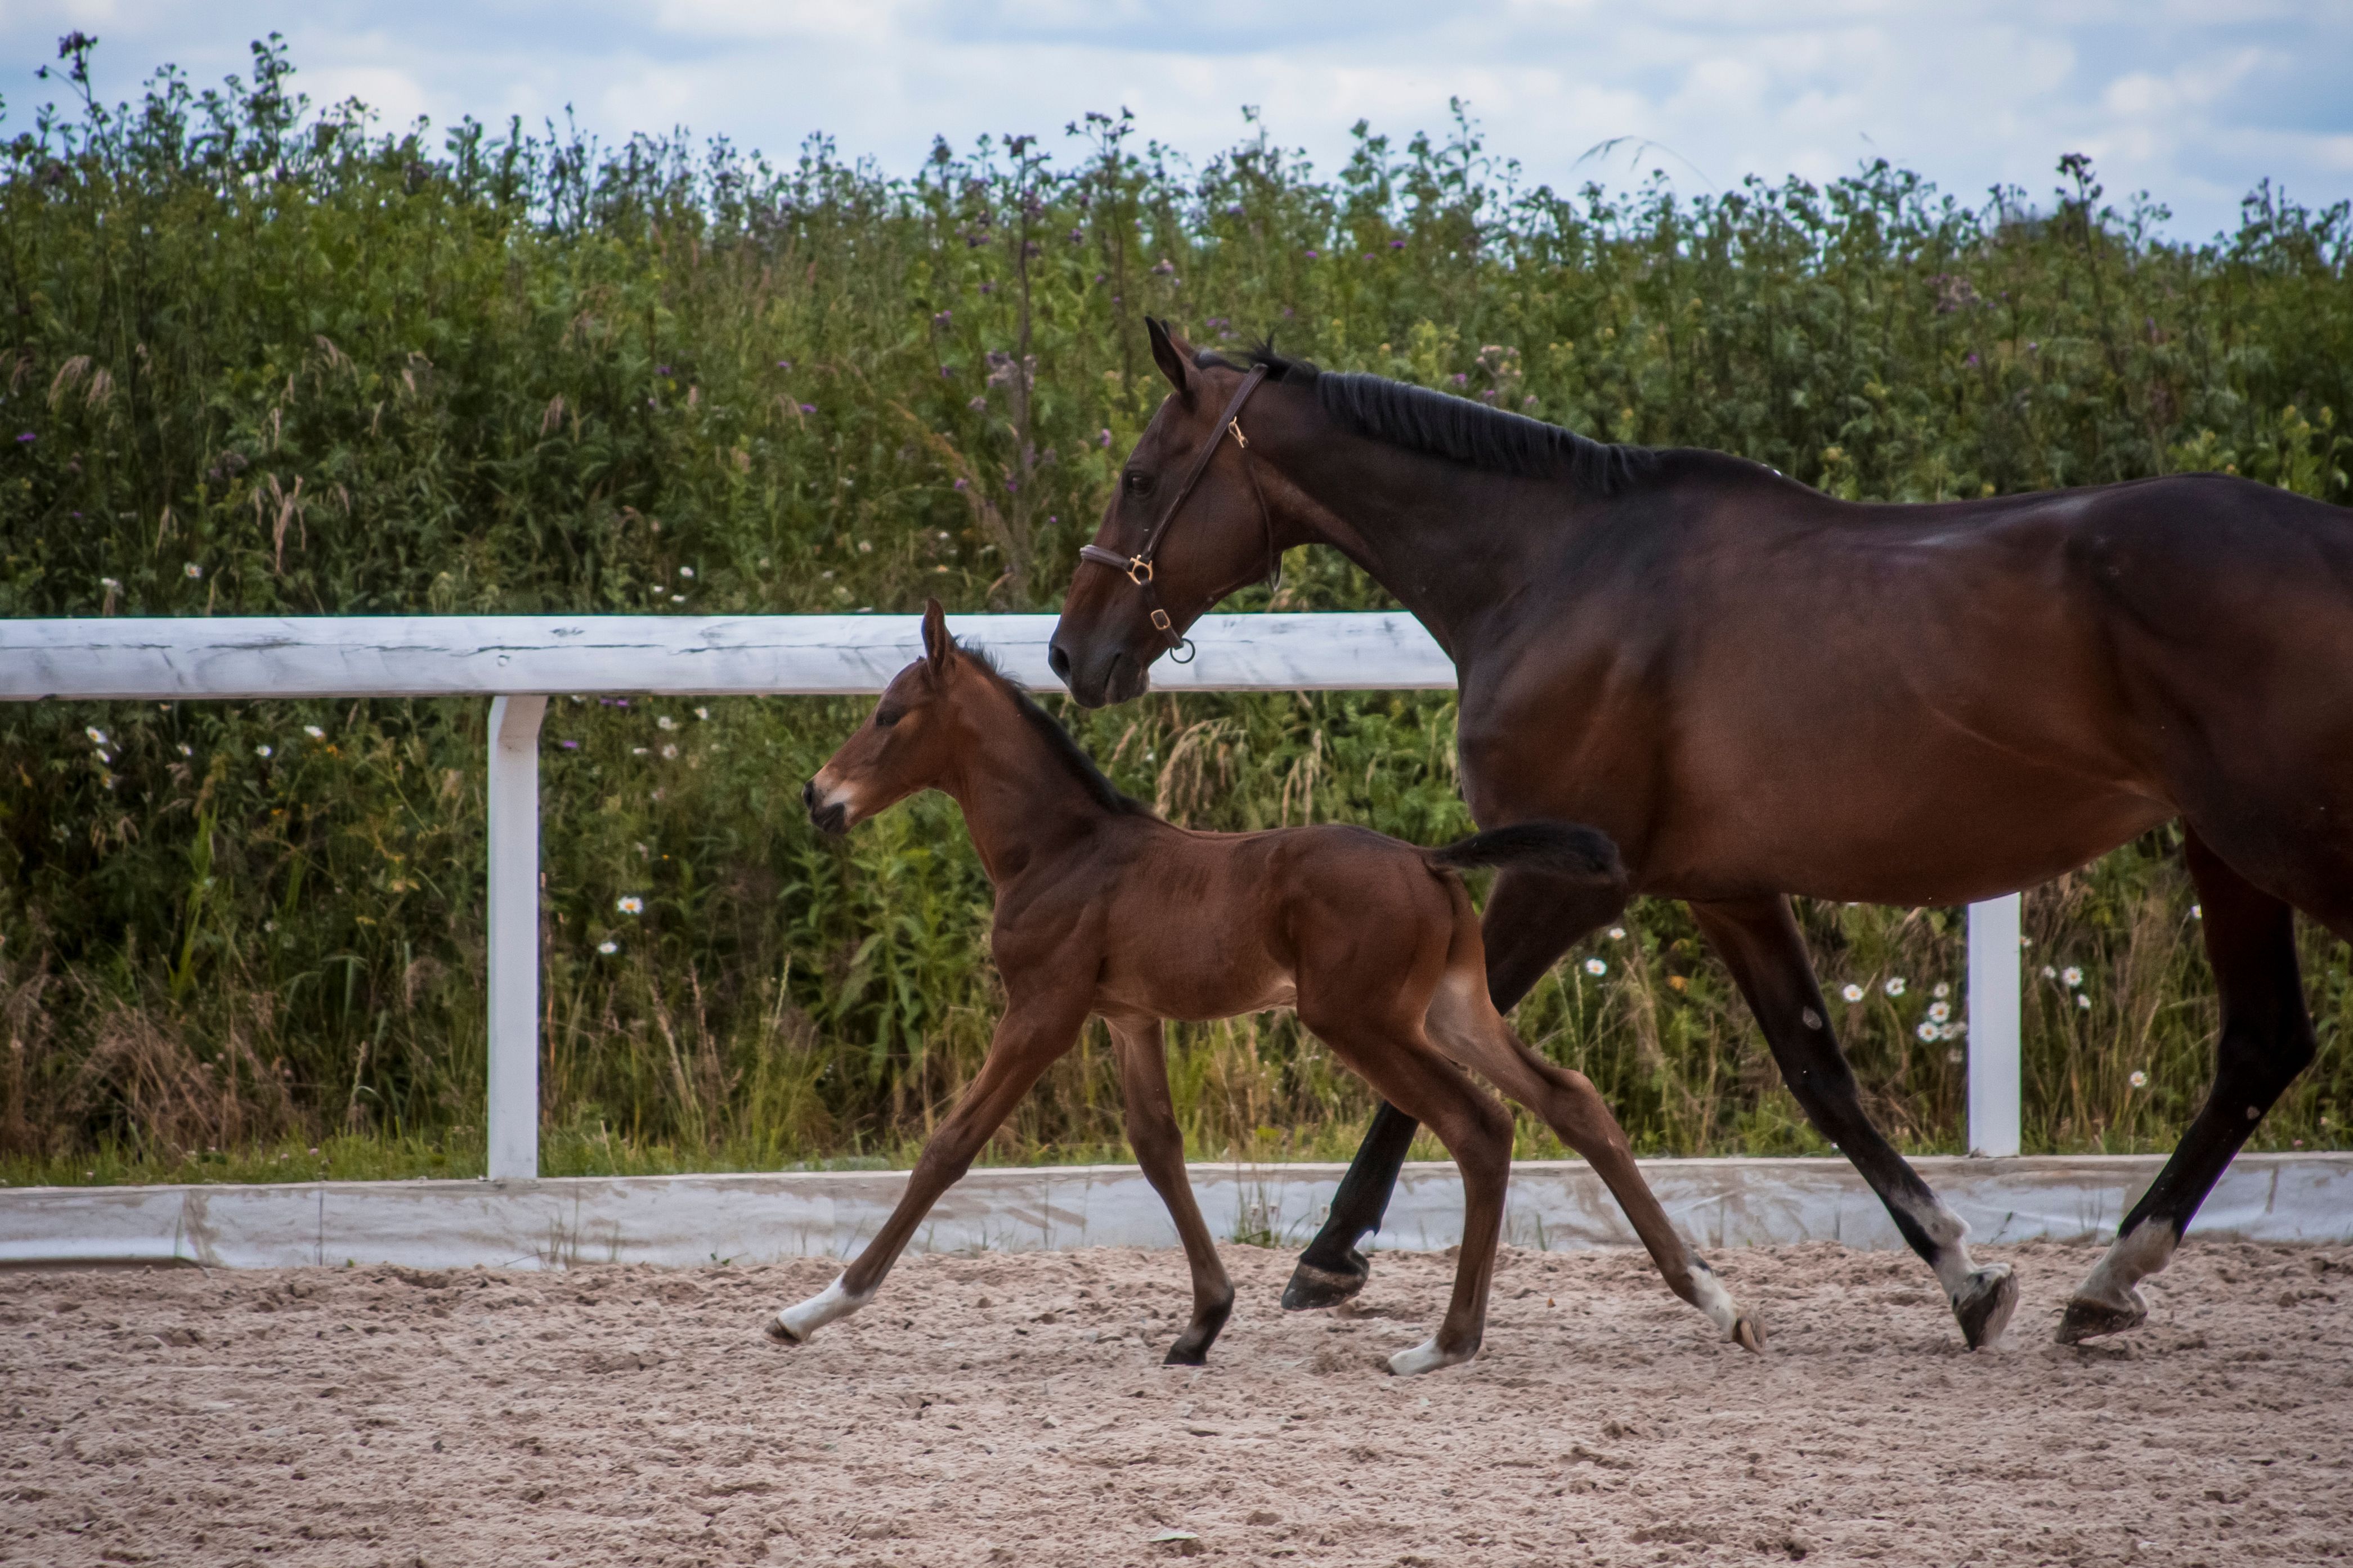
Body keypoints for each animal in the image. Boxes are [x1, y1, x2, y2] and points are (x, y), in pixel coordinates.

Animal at [769, 600, 1766, 1374]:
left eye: (889, 714)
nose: (818, 797)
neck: (1059, 850)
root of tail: (1429, 858)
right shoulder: (1128, 1015)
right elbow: (1157, 1146)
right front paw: (1202, 1323)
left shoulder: (1043, 1008)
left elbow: (949, 1145)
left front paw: (813, 1309)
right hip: (1452, 1008)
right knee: (1570, 1098)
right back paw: (1714, 1299)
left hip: (1358, 1018)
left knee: (1480, 1125)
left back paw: (1444, 1343)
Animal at [1047, 317, 2353, 1349]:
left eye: (1138, 474)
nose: (1071, 652)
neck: (1557, 568)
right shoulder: (1726, 889)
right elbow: (1821, 1077)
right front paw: (1962, 1273)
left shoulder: (1568, 878)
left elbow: (1442, 1053)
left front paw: (1328, 1255)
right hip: (2226, 849)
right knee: (2260, 1045)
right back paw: (2106, 1282)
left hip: (2275, 839)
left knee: (2261, 1043)